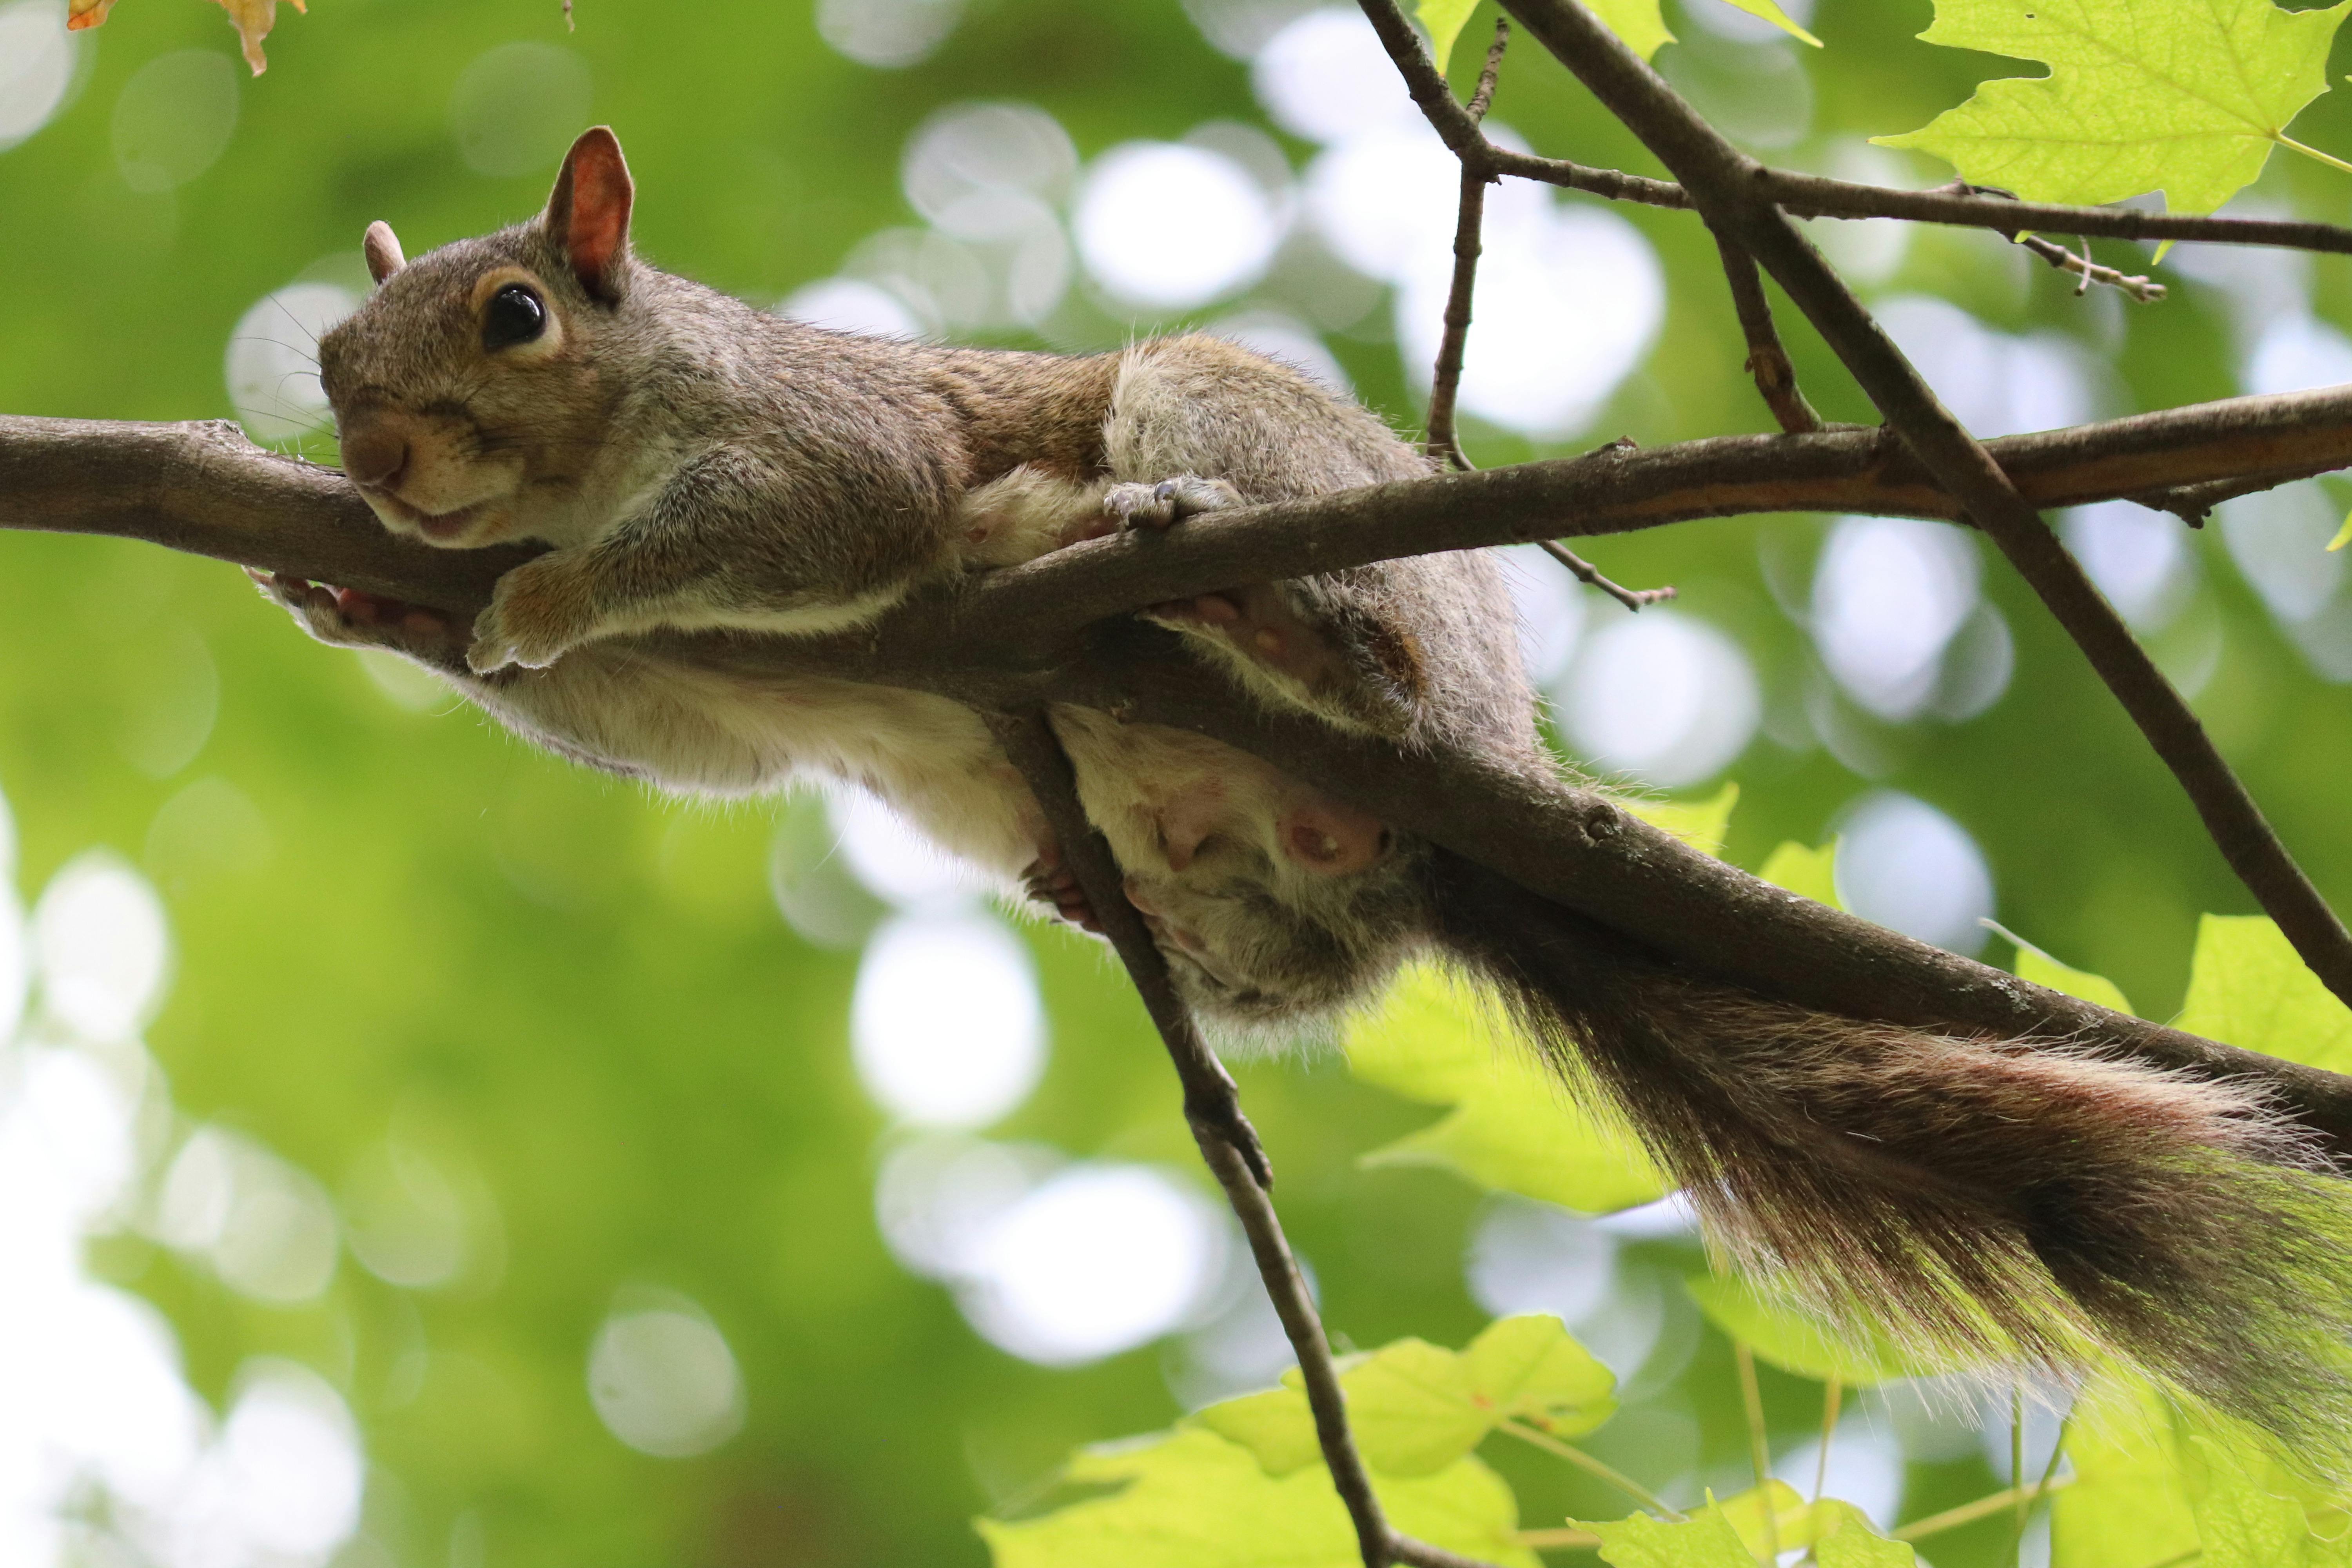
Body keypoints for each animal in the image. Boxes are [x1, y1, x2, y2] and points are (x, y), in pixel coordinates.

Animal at [263, 126, 2352, 1456]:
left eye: (518, 316)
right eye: (330, 352)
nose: (373, 468)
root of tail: (1449, 828)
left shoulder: (832, 455)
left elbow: (789, 526)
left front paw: (536, 592)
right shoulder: (718, 699)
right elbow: (663, 724)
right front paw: (373, 604)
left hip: (1249, 446)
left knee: (1372, 656)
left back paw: (1243, 594)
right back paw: (1125, 893)